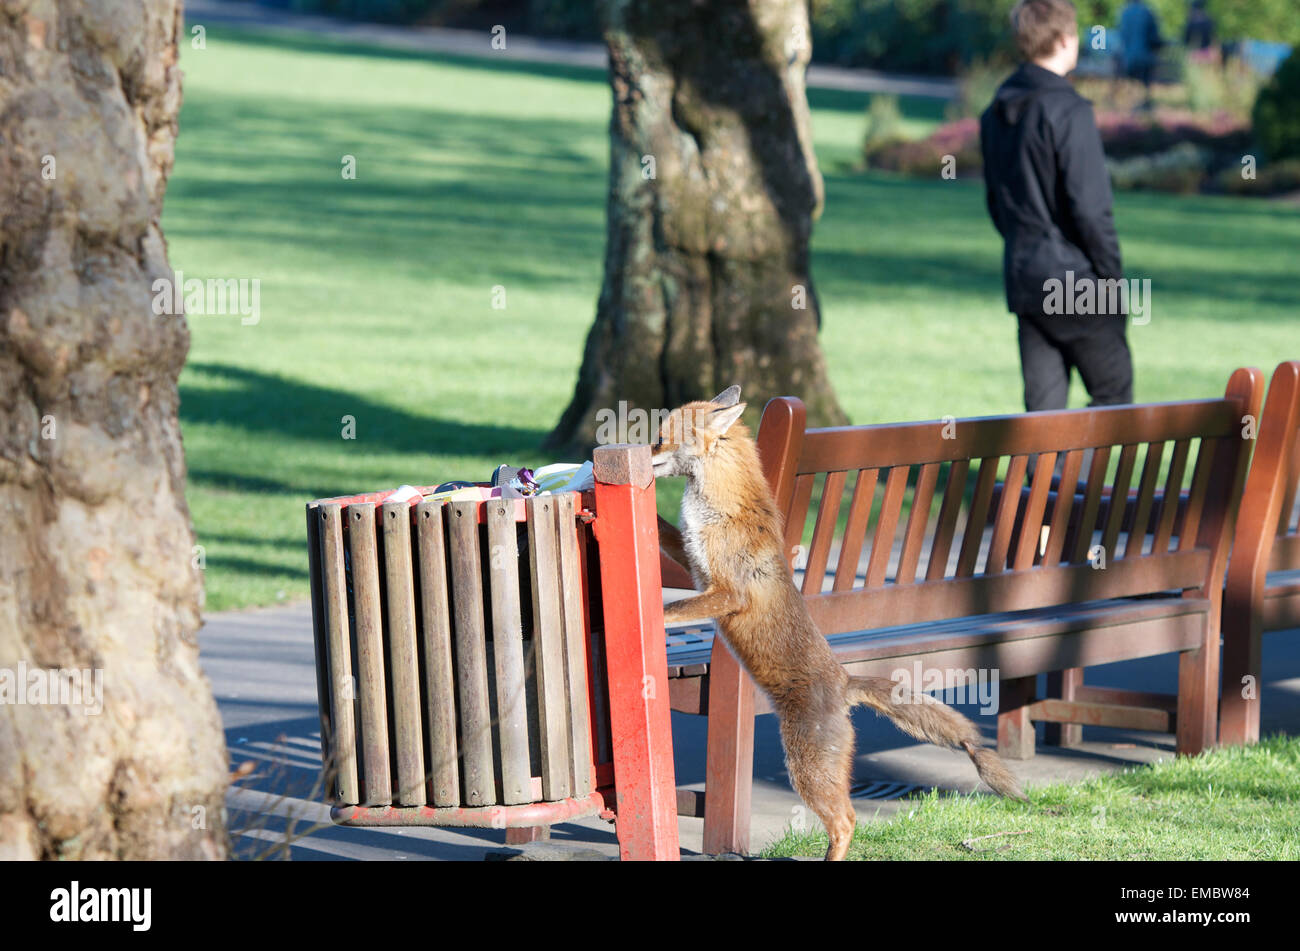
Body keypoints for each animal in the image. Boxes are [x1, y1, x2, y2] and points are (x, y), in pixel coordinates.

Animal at [652, 385, 1027, 861]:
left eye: (661, 438)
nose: (640, 452)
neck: (719, 506)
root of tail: (846, 683)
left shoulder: (727, 594)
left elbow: (674, 609)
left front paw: (656, 615)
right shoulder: (695, 567)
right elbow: (667, 537)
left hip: (805, 768)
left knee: (846, 821)